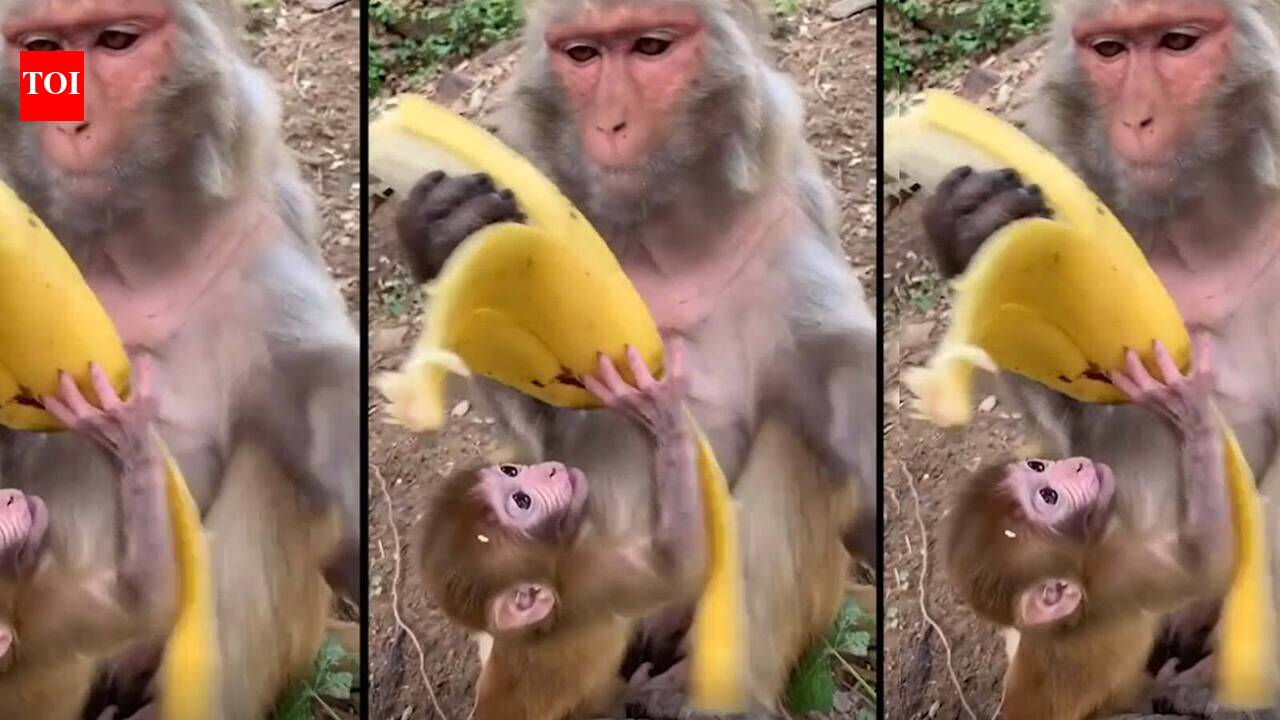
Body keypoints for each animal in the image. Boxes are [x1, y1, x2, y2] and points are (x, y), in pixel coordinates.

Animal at [0, 0, 359, 717]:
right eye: (40, 47)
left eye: (116, 41)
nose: (71, 121)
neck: (126, 243)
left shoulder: (262, 224)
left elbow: (314, 399)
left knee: (273, 465)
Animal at [418, 342, 706, 720]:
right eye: (522, 501)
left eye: (510, 471)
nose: (550, 471)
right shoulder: (589, 583)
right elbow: (680, 569)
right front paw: (657, 416)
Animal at [945, 335, 1233, 720]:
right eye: (1049, 496)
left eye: (1037, 466)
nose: (1077, 466)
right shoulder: (1118, 578)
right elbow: (1209, 565)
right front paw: (1185, 409)